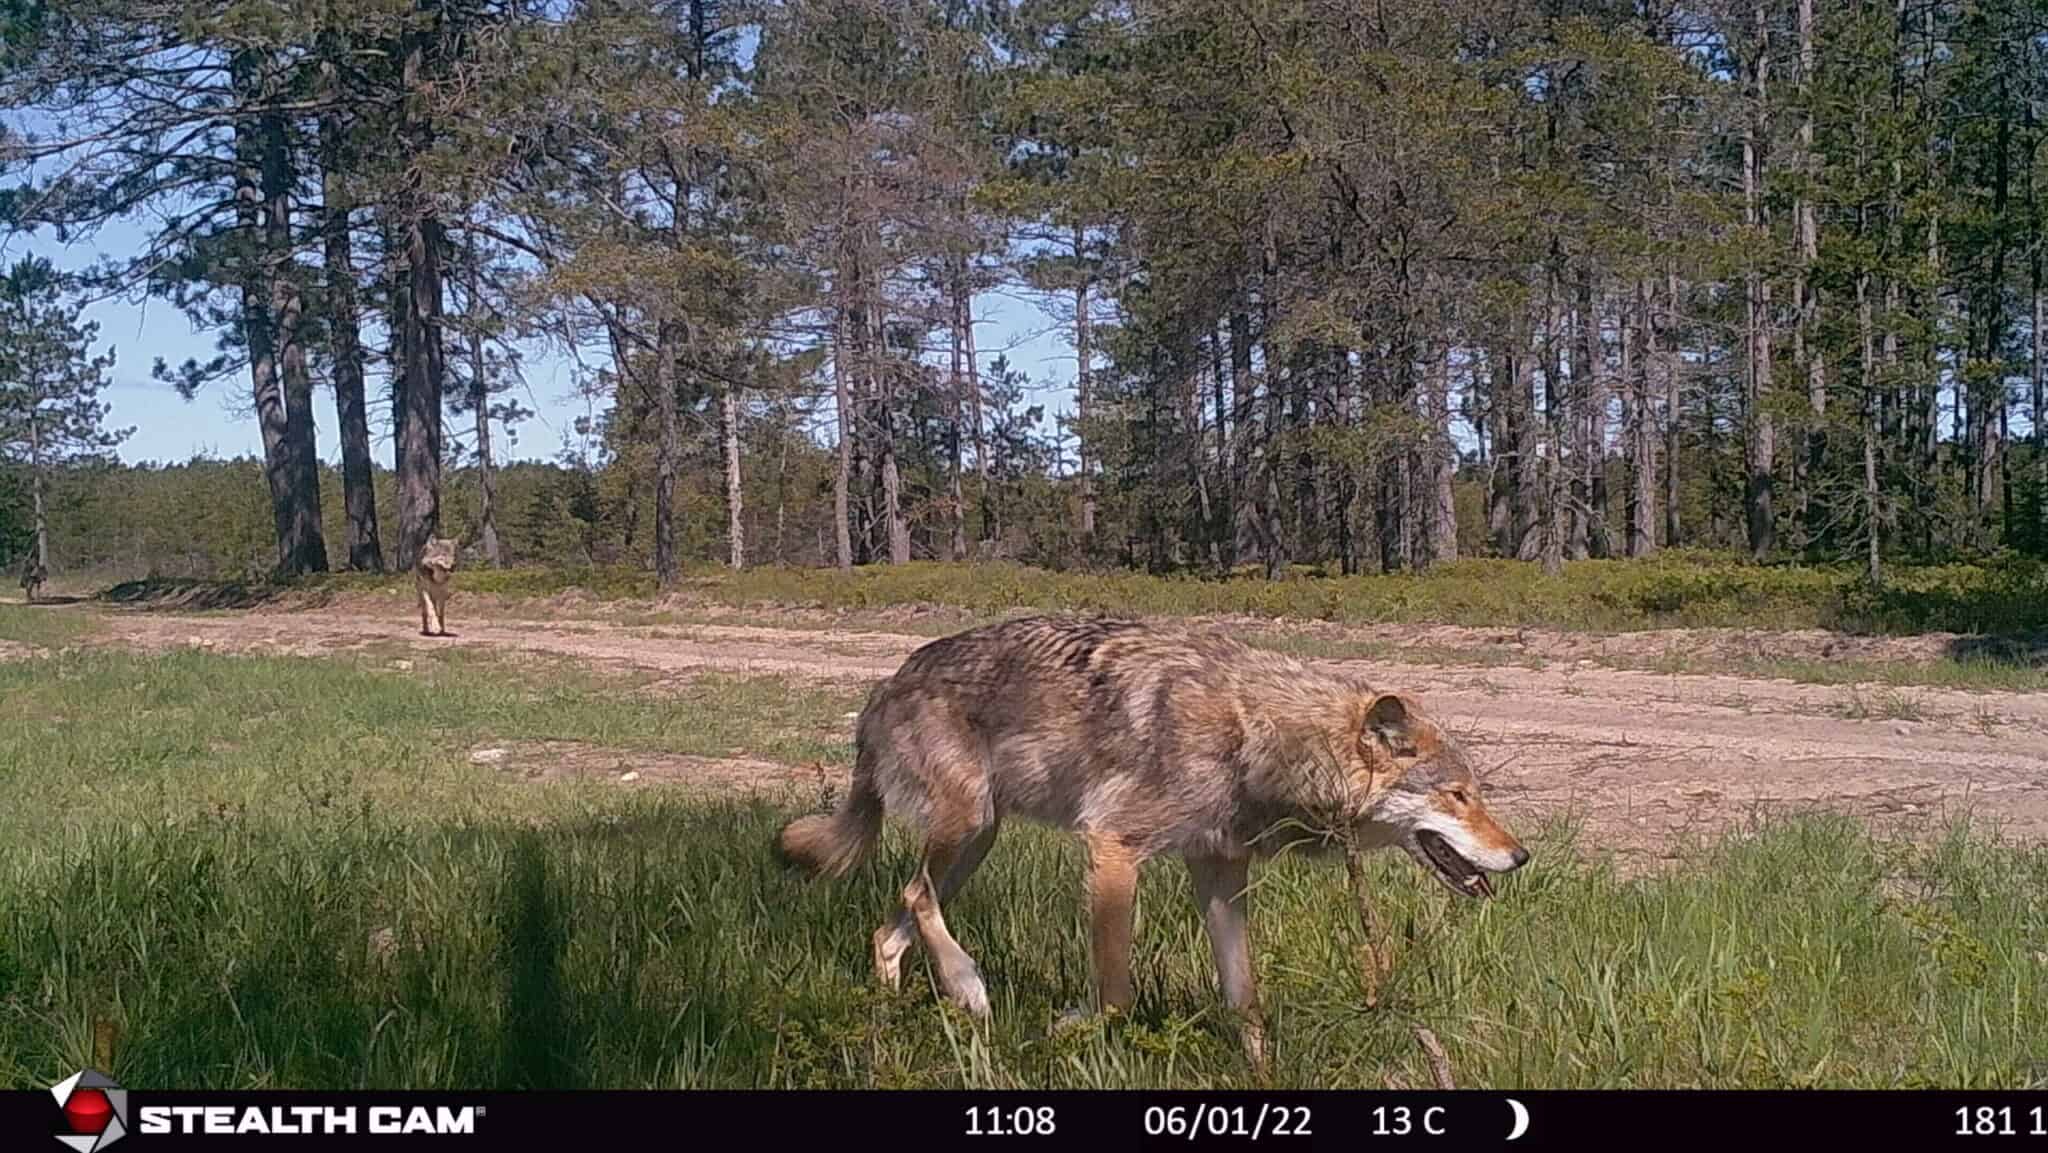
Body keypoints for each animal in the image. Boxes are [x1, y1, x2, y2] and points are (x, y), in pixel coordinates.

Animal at [776, 615, 1528, 1060]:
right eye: (1457, 795)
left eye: (1477, 792)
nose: (1521, 856)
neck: (1258, 737)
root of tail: (885, 684)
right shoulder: (1113, 847)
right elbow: (1116, 993)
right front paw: (1070, 1029)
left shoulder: (1221, 874)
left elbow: (1246, 1001)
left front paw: (1262, 1078)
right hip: (967, 826)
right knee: (915, 896)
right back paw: (966, 987)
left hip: (976, 840)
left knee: (890, 926)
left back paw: (887, 1019)